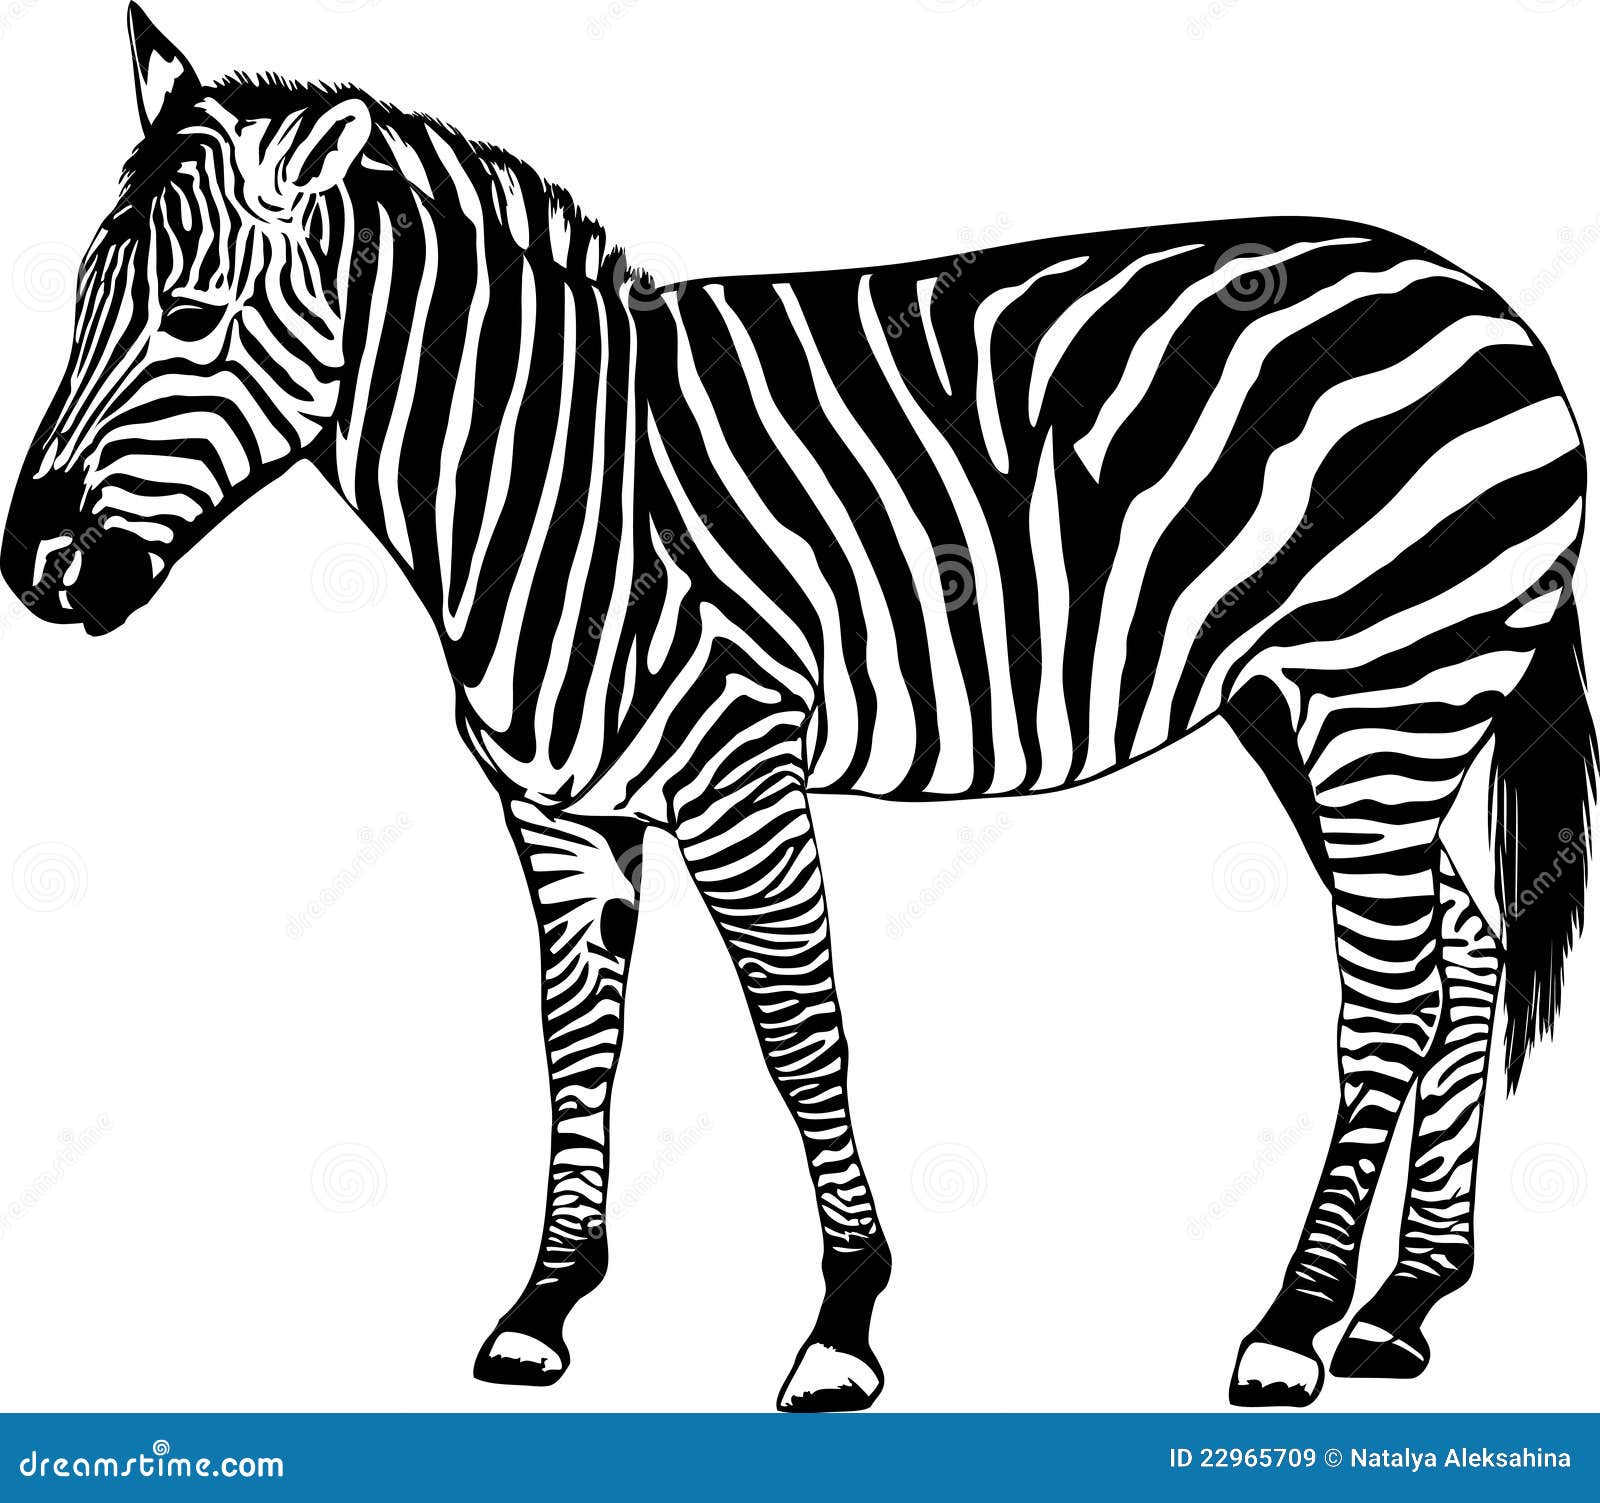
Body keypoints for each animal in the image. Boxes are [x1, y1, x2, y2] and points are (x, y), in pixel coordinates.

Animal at [4, 6, 1592, 1412]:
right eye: (76, 302)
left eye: (191, 316)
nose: (35, 565)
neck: (556, 475)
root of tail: (1490, 304)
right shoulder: (562, 806)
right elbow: (575, 1039)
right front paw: (544, 1308)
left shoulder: (741, 771)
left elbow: (798, 1035)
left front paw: (843, 1323)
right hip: (1315, 705)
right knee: (1459, 953)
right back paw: (1401, 1307)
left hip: (1386, 687)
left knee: (1390, 992)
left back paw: (1293, 1327)